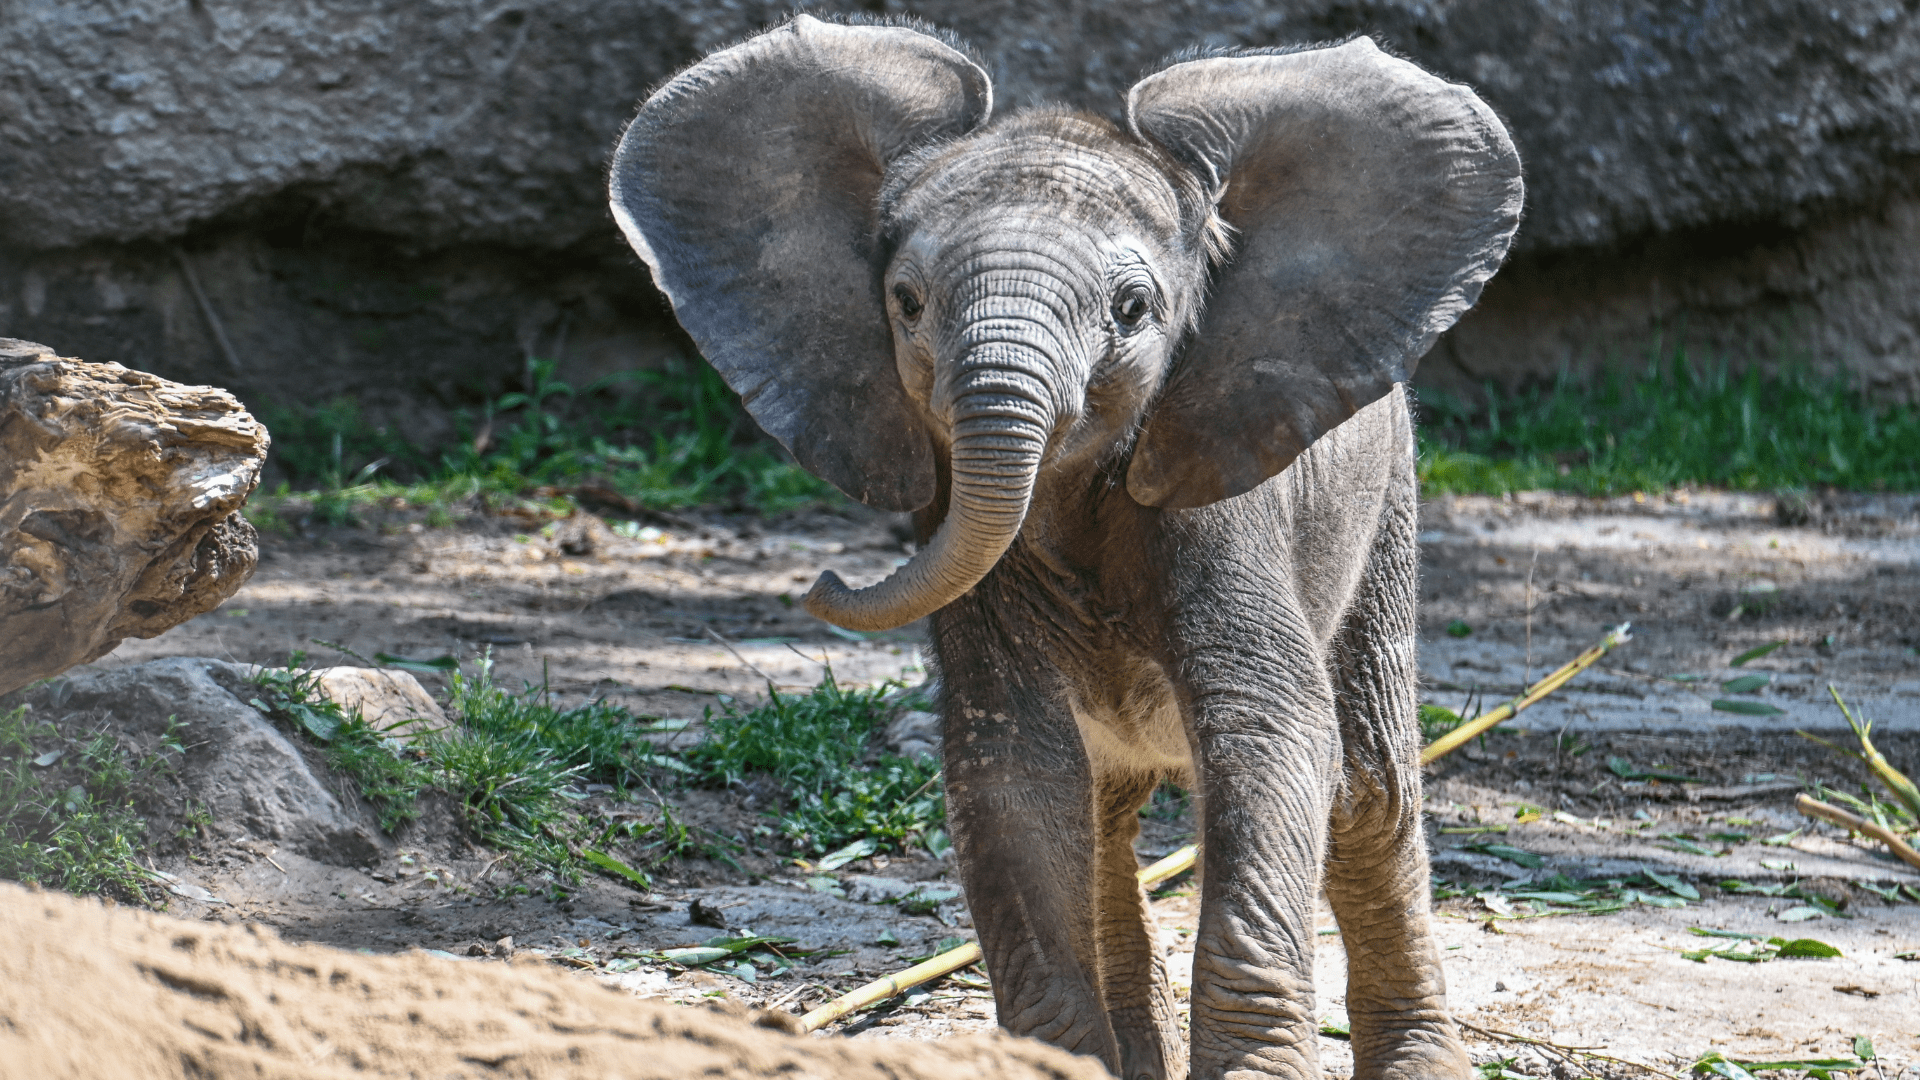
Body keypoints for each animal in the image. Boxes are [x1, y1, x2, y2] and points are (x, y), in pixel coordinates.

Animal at [610, 16, 1521, 1080]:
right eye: (907, 303)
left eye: (1132, 311)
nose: (825, 578)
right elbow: (1013, 770)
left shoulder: (1223, 487)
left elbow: (1270, 737)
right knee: (1105, 811)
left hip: (1388, 508)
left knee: (1367, 797)